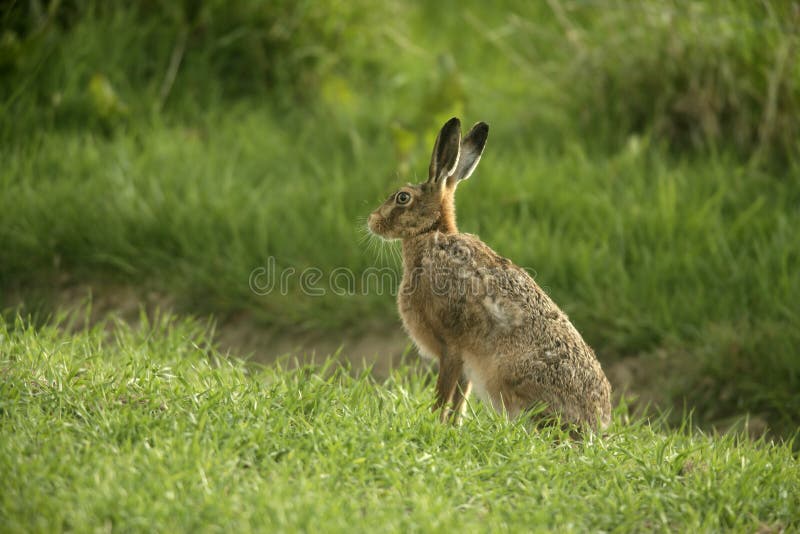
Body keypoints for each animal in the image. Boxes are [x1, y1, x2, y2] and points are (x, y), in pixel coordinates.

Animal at [368, 117, 612, 430]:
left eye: (402, 197)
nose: (372, 221)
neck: (432, 234)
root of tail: (595, 425)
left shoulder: (451, 348)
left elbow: (443, 395)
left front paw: (434, 424)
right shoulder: (466, 364)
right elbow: (459, 399)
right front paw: (451, 428)